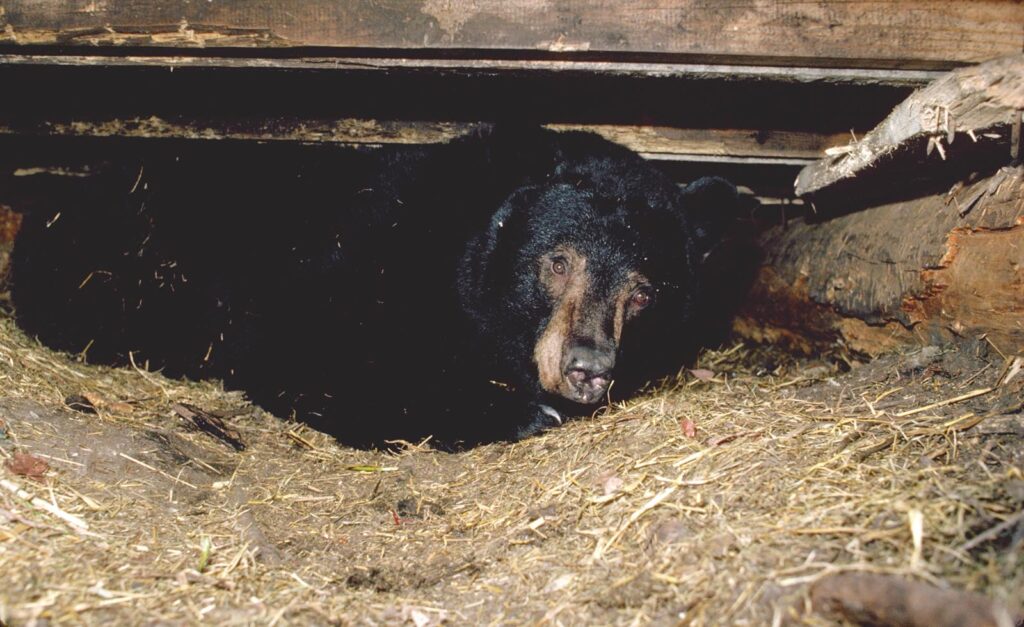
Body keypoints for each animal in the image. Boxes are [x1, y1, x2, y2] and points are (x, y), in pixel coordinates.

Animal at [10, 127, 739, 447]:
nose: (588, 367)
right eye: (556, 261)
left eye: (645, 292)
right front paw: (517, 411)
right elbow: (319, 362)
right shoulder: (344, 272)